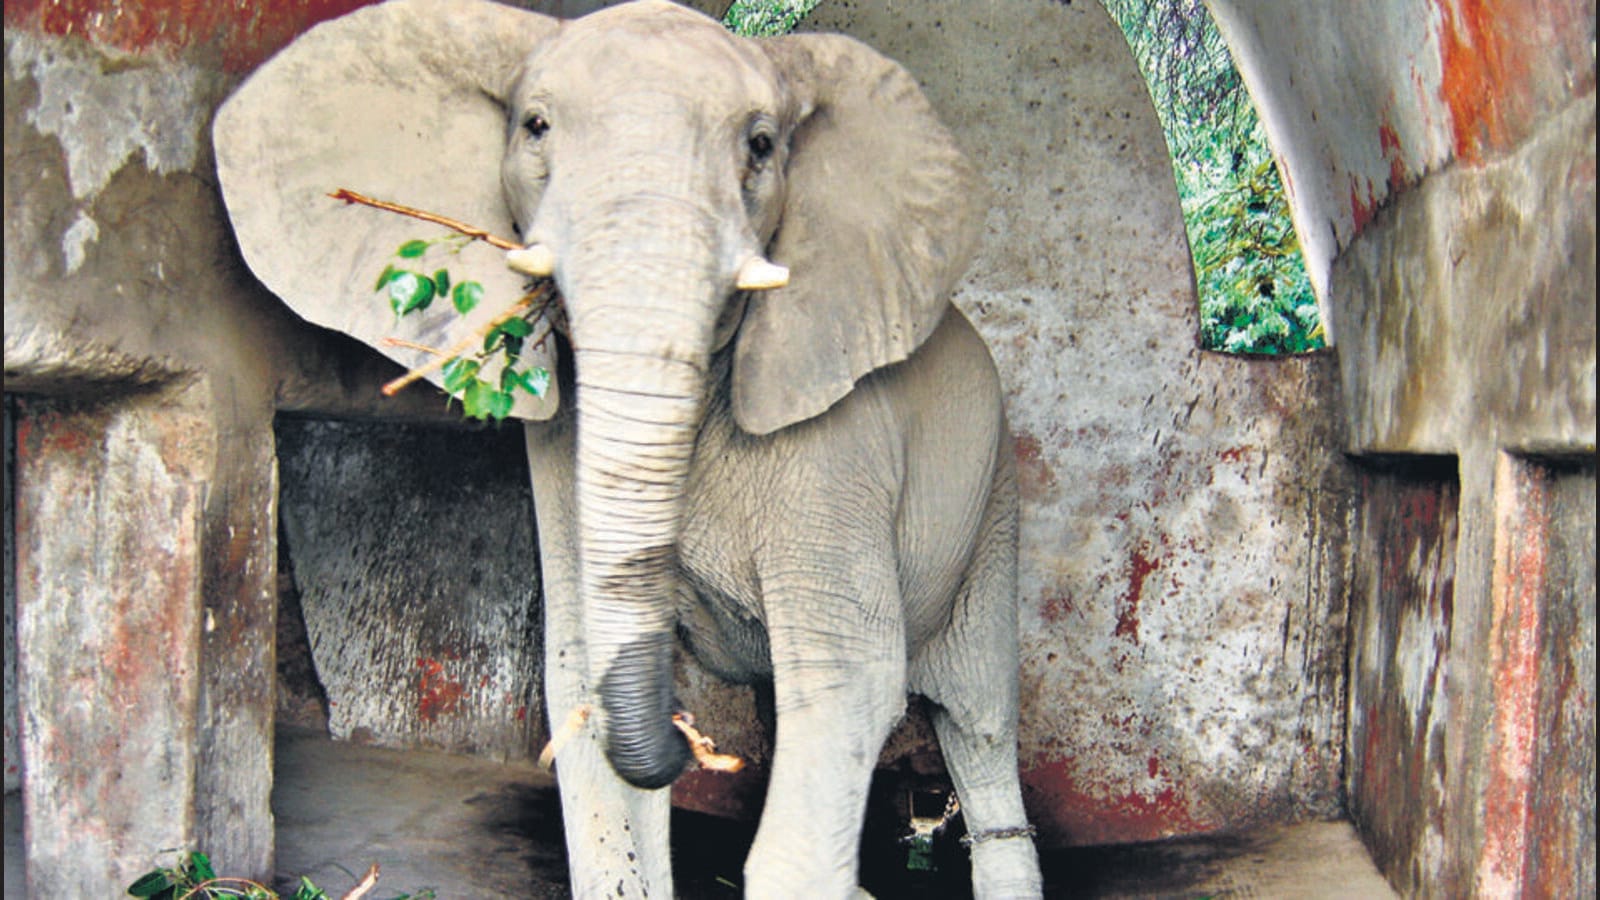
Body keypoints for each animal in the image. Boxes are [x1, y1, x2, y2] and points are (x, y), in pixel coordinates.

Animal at [214, 0, 1042, 896]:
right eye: (535, 127)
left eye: (761, 144)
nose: (687, 741)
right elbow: (581, 674)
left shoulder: (838, 447)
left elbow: (848, 682)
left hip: (995, 503)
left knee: (977, 723)